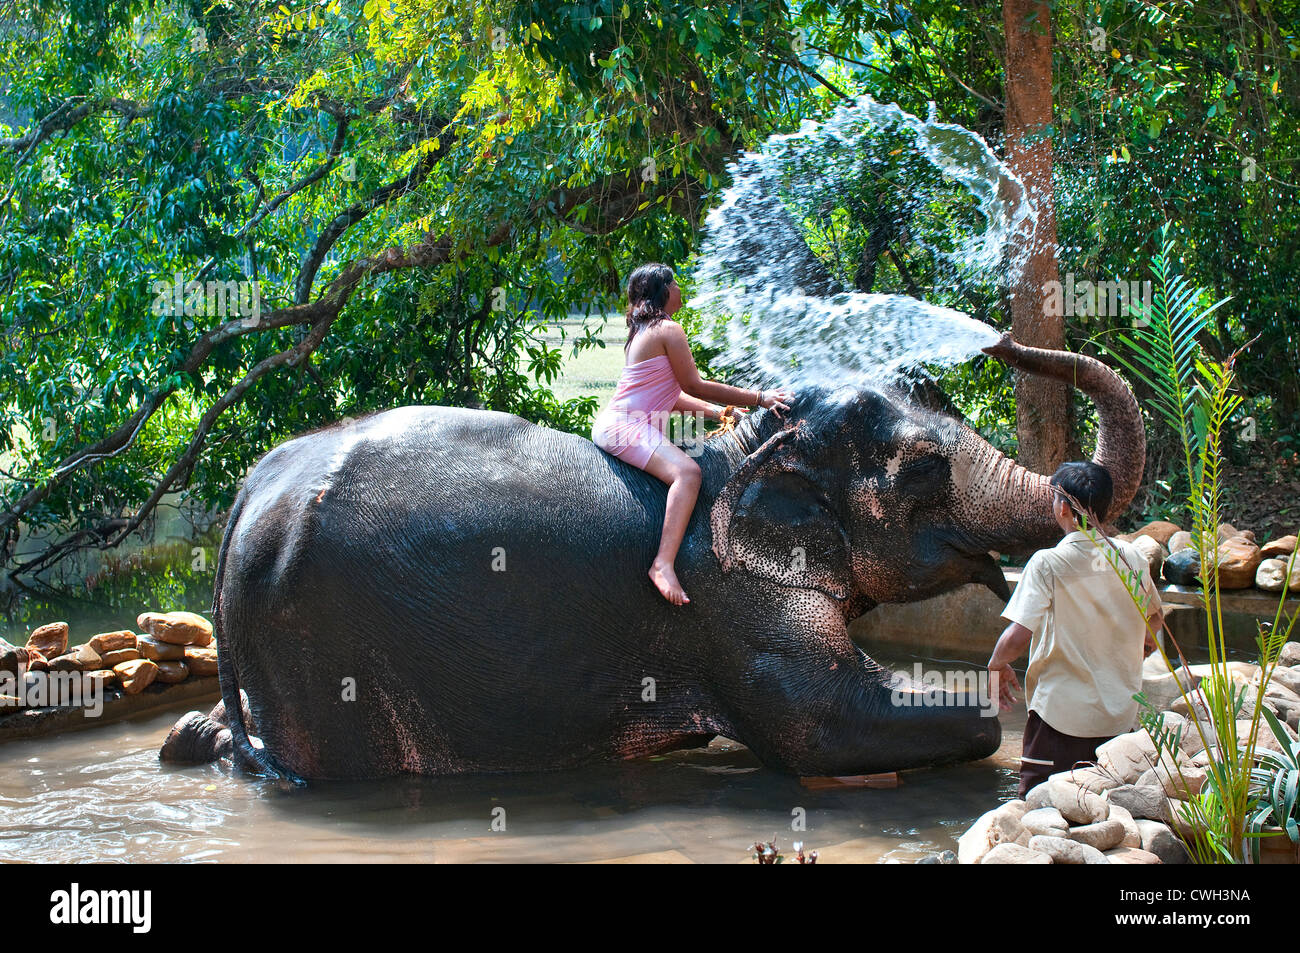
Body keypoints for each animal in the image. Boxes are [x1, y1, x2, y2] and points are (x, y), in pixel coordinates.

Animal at [161, 332, 1145, 782]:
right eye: (926, 470)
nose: (1000, 336)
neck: (742, 457)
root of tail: (248, 489)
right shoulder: (732, 605)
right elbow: (827, 726)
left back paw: (190, 737)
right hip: (317, 649)